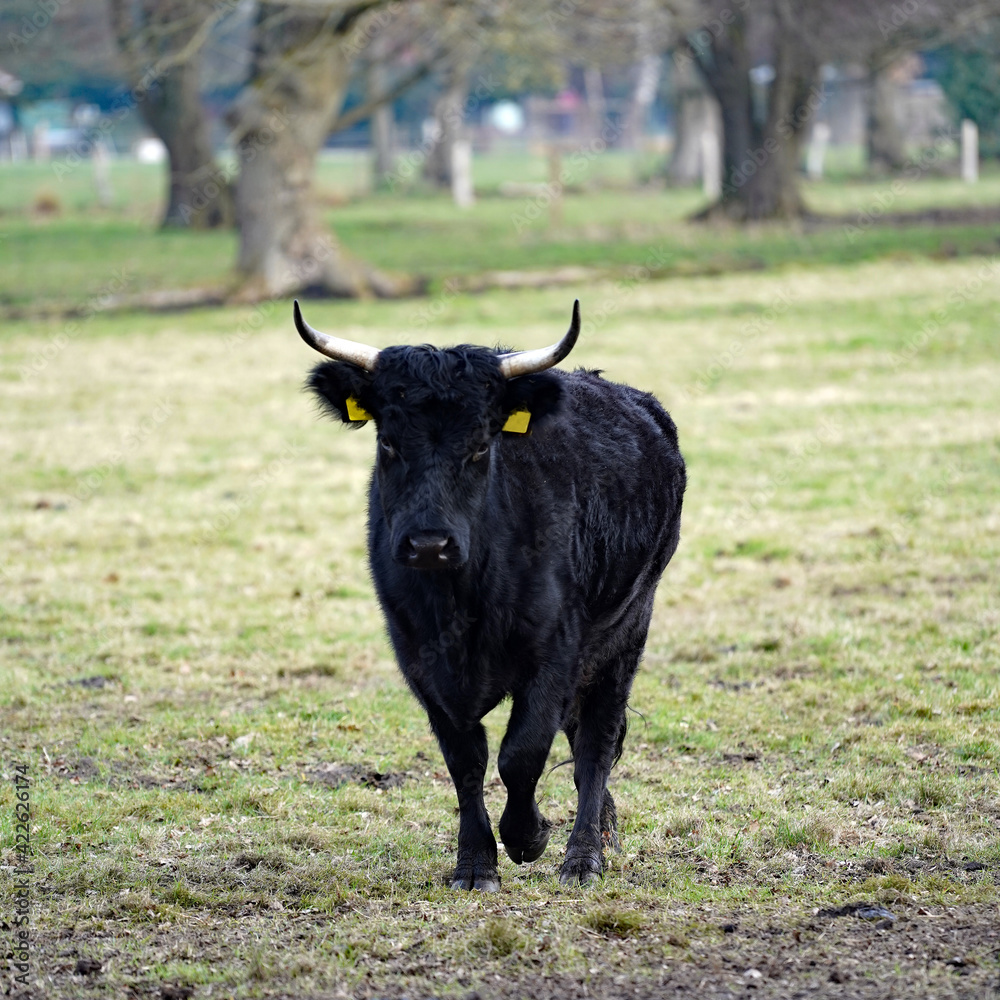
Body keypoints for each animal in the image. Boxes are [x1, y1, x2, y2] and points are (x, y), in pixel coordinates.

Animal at [295, 299, 685, 889]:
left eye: (481, 447)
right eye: (387, 442)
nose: (428, 544)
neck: (460, 601)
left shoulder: (554, 653)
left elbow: (520, 753)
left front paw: (529, 836)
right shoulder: (420, 660)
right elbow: (466, 760)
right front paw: (475, 863)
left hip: (626, 633)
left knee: (596, 741)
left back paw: (584, 856)